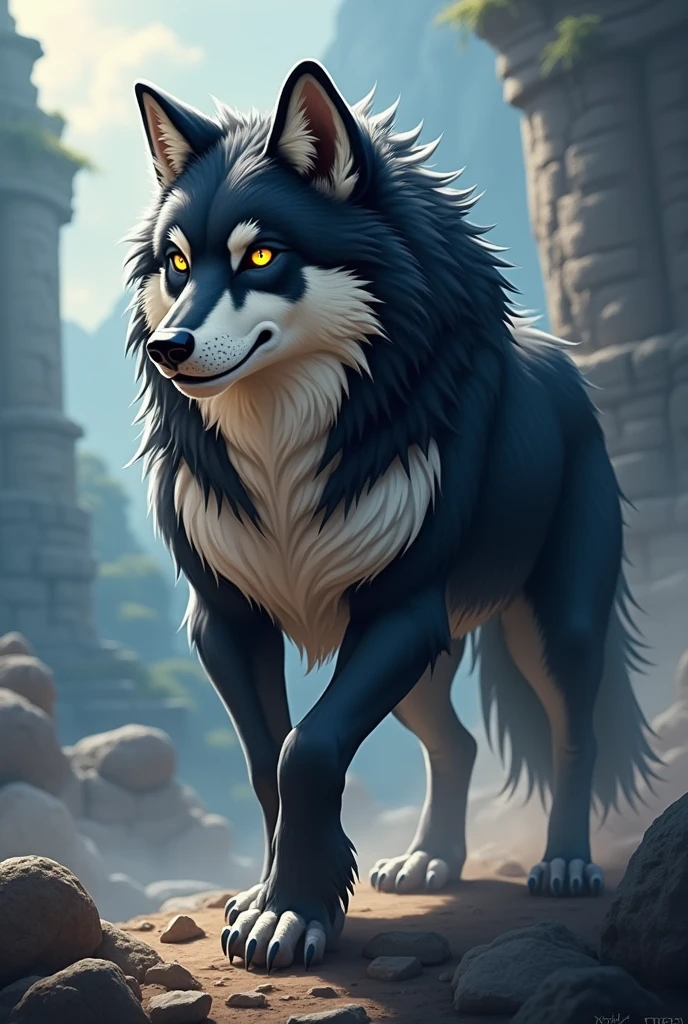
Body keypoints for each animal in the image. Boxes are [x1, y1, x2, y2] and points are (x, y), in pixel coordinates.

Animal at [125, 59, 659, 971]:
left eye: (261, 255)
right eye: (177, 264)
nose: (171, 349)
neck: (283, 447)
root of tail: (566, 366)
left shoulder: (400, 611)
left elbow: (307, 751)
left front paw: (291, 912)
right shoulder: (227, 620)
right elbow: (267, 759)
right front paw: (276, 894)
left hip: (554, 626)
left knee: (574, 736)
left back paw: (564, 863)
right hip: (427, 663)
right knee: (459, 743)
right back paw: (430, 860)